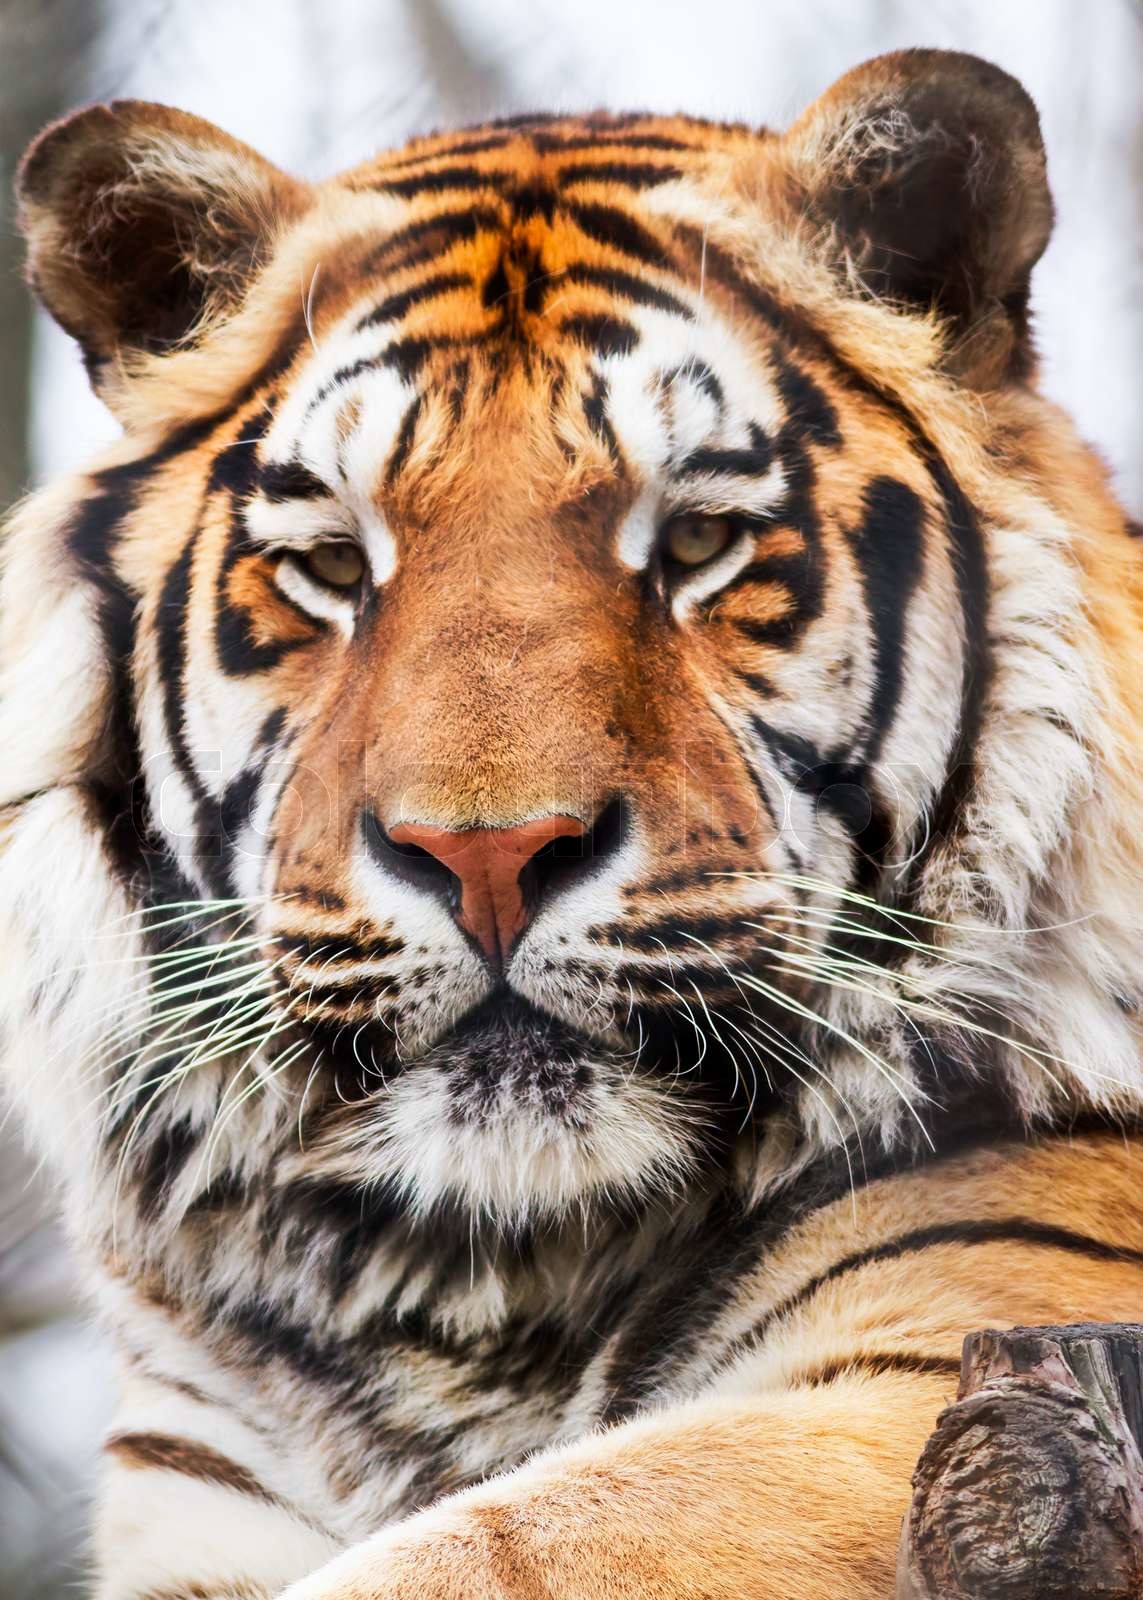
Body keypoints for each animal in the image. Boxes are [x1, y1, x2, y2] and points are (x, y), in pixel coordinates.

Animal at [2, 43, 1142, 1600]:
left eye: (697, 542)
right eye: (332, 567)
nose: (486, 856)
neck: (482, 1288)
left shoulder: (928, 1377)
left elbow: (493, 1544)